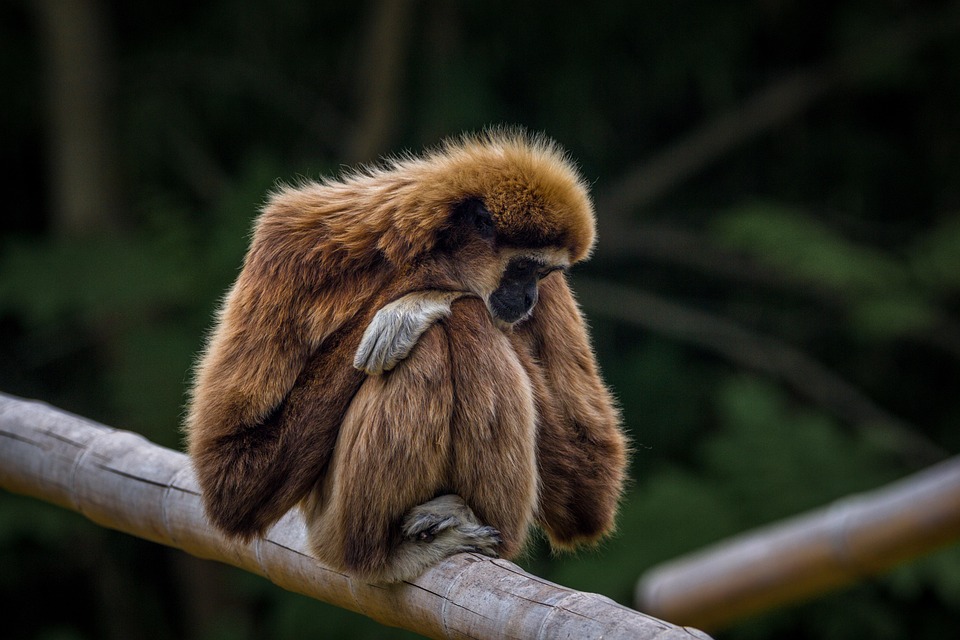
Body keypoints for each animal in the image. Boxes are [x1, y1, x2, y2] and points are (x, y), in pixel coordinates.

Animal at [185, 129, 628, 583]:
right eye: (523, 268)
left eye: (542, 273)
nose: (528, 298)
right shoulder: (288, 244)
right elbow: (233, 477)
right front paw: (429, 282)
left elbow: (589, 487)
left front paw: (419, 297)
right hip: (333, 529)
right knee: (448, 330)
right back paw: (387, 554)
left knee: (468, 319)